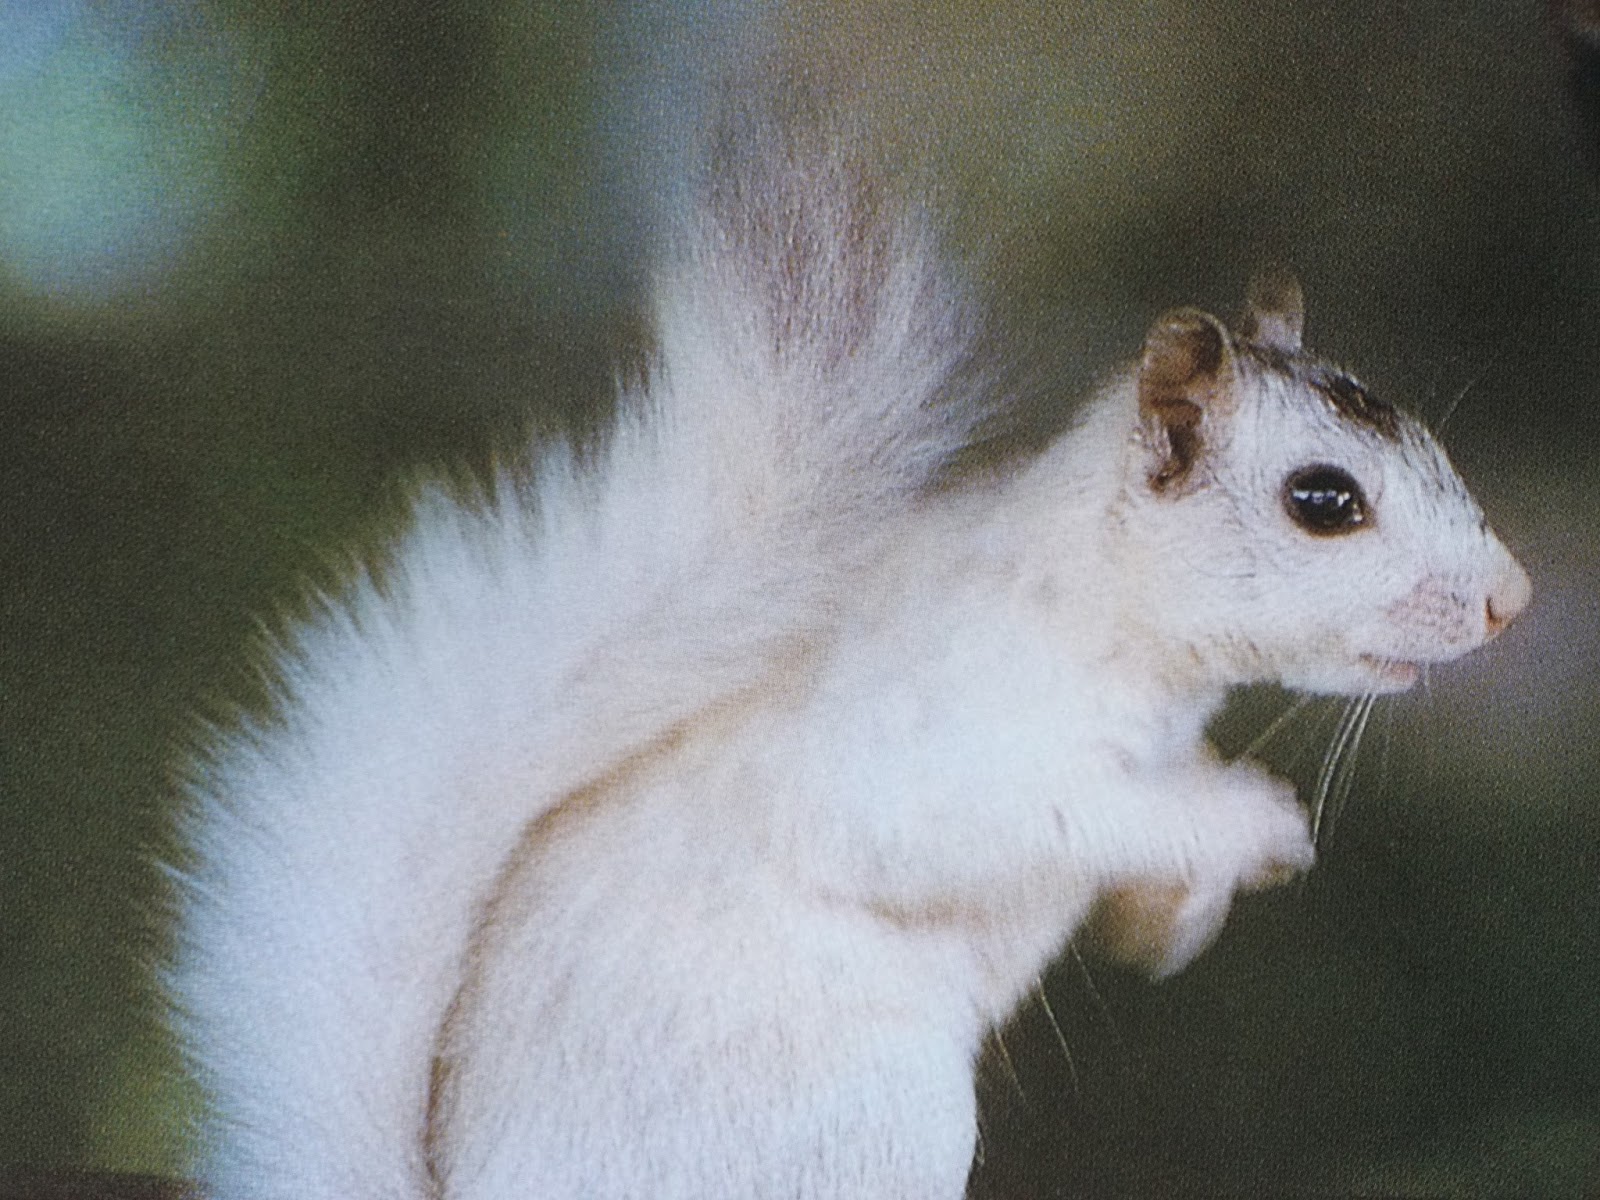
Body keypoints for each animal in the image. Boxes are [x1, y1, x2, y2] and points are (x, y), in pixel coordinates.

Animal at [169, 106, 1532, 1200]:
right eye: (1323, 501)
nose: (1509, 601)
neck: (1104, 620)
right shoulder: (935, 748)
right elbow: (996, 822)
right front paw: (1243, 823)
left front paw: (1177, 911)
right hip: (869, 1122)